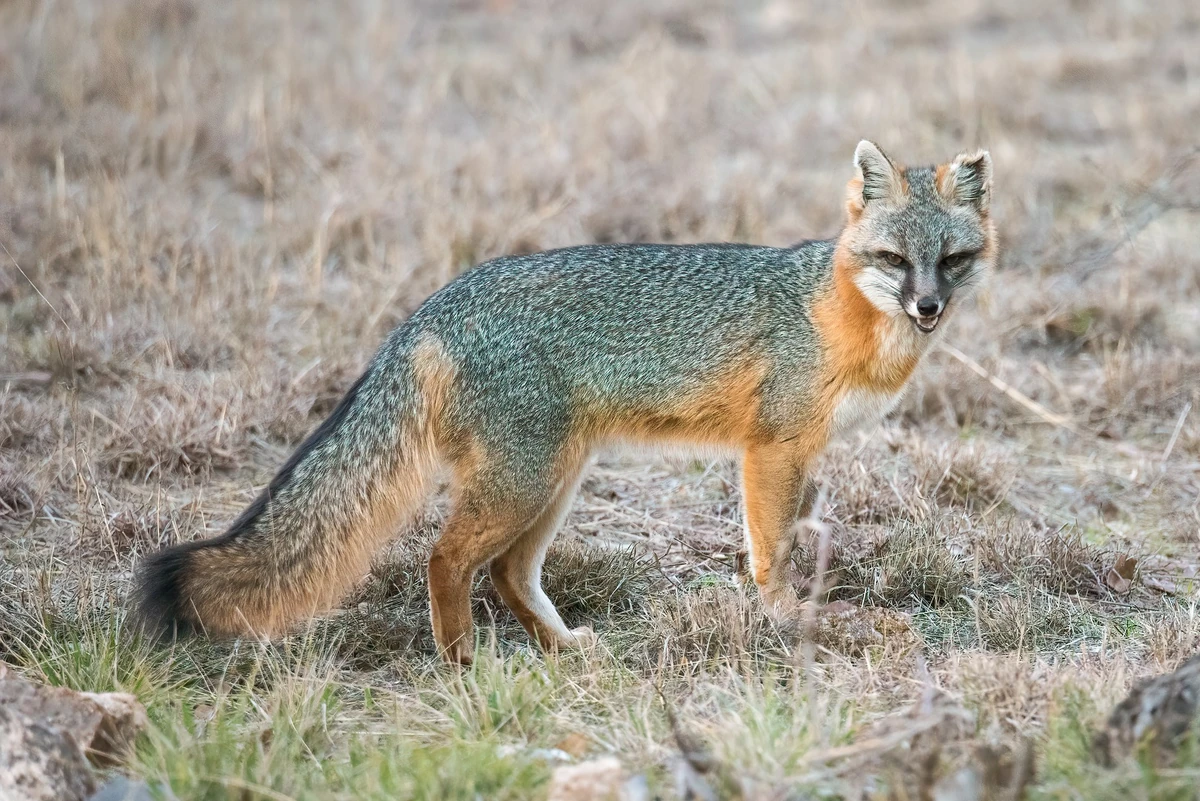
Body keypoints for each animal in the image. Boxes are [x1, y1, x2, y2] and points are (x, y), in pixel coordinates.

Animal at [136, 141, 996, 665]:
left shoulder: (797, 452)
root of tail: (432, 306)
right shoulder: (772, 449)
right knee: (447, 557)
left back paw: (558, 649)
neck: (836, 311)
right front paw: (785, 616)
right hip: (524, 482)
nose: (928, 307)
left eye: (952, 259)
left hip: (553, 479)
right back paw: (461, 661)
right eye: (895, 259)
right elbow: (770, 551)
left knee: (509, 571)